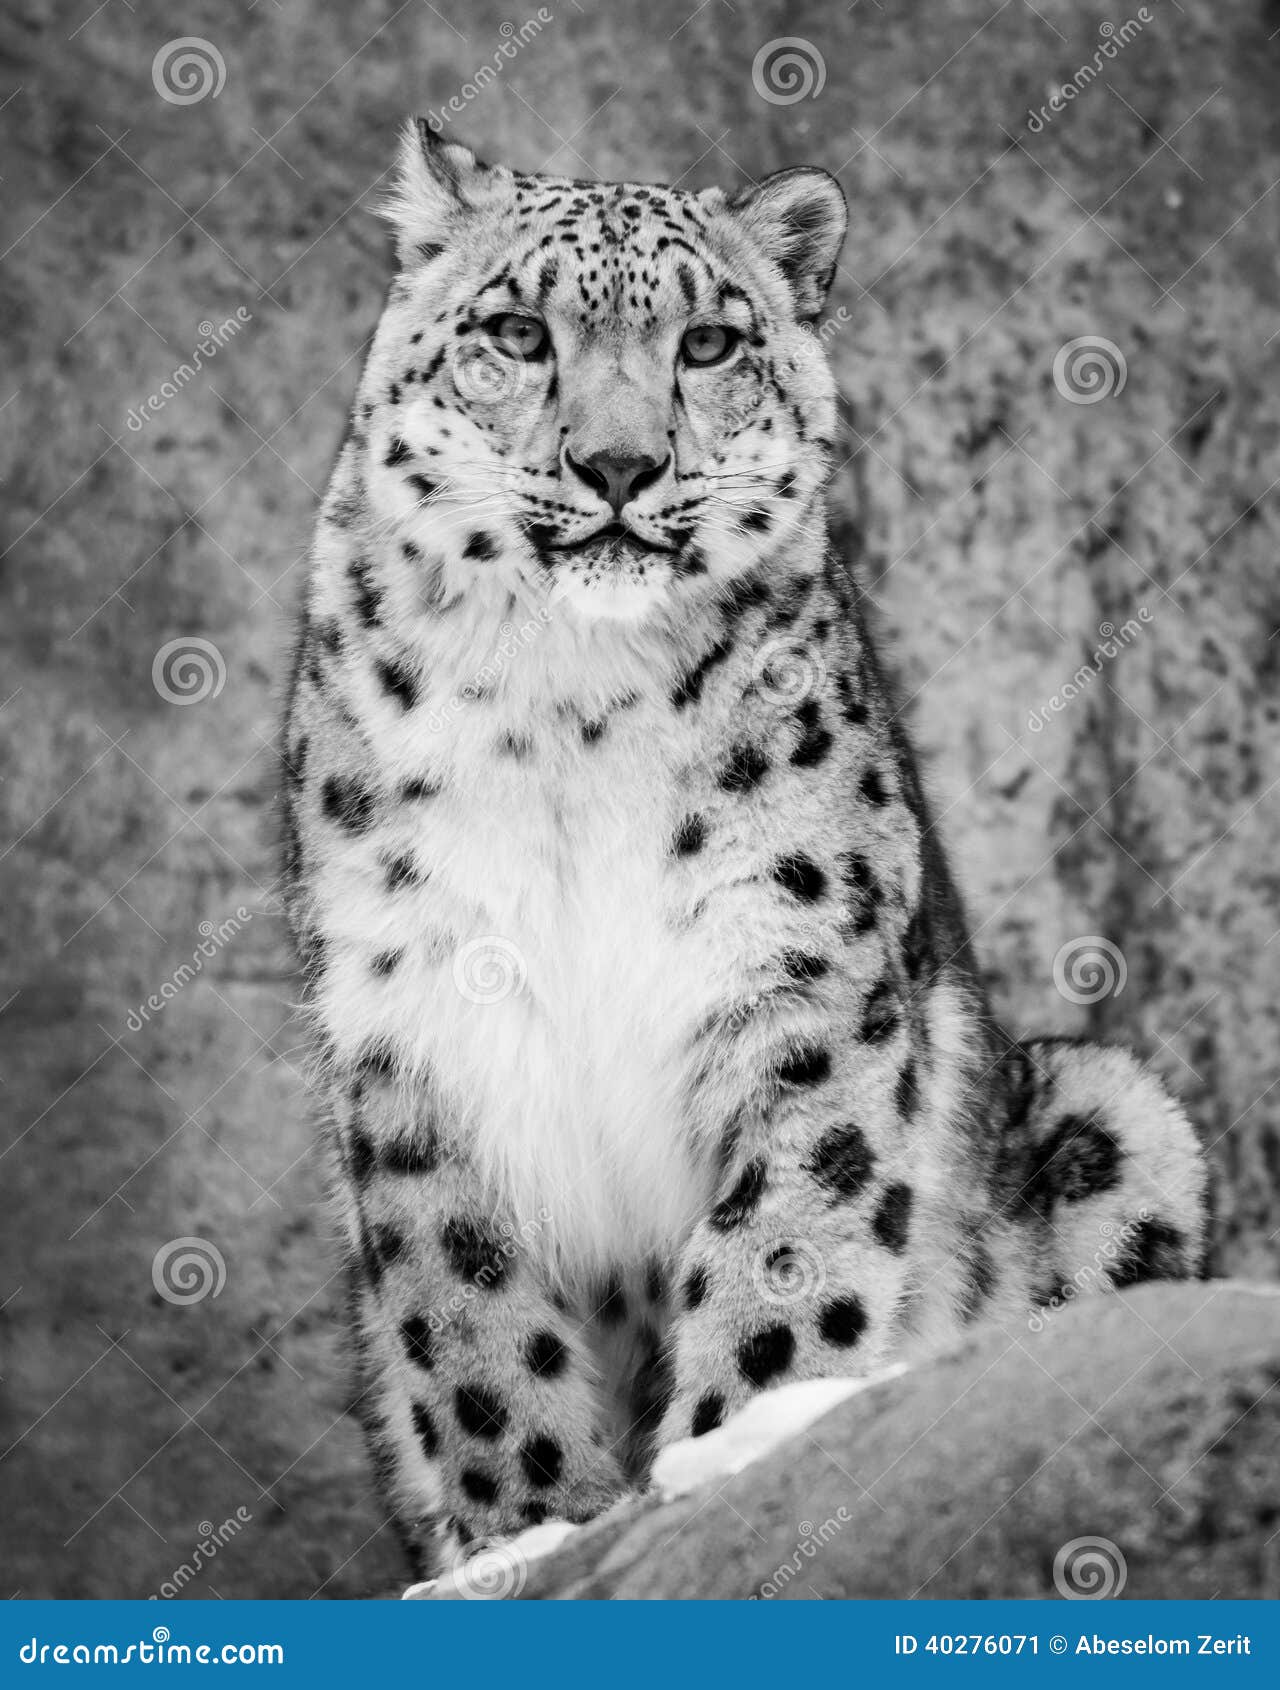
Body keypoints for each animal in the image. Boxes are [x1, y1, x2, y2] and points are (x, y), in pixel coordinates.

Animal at [280, 123, 1208, 1581]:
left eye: (708, 343)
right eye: (516, 330)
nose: (616, 465)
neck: (570, 706)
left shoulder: (800, 977)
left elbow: (785, 1248)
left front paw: (729, 1455)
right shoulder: (420, 1010)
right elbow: (473, 1323)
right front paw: (527, 1534)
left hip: (1116, 1108)